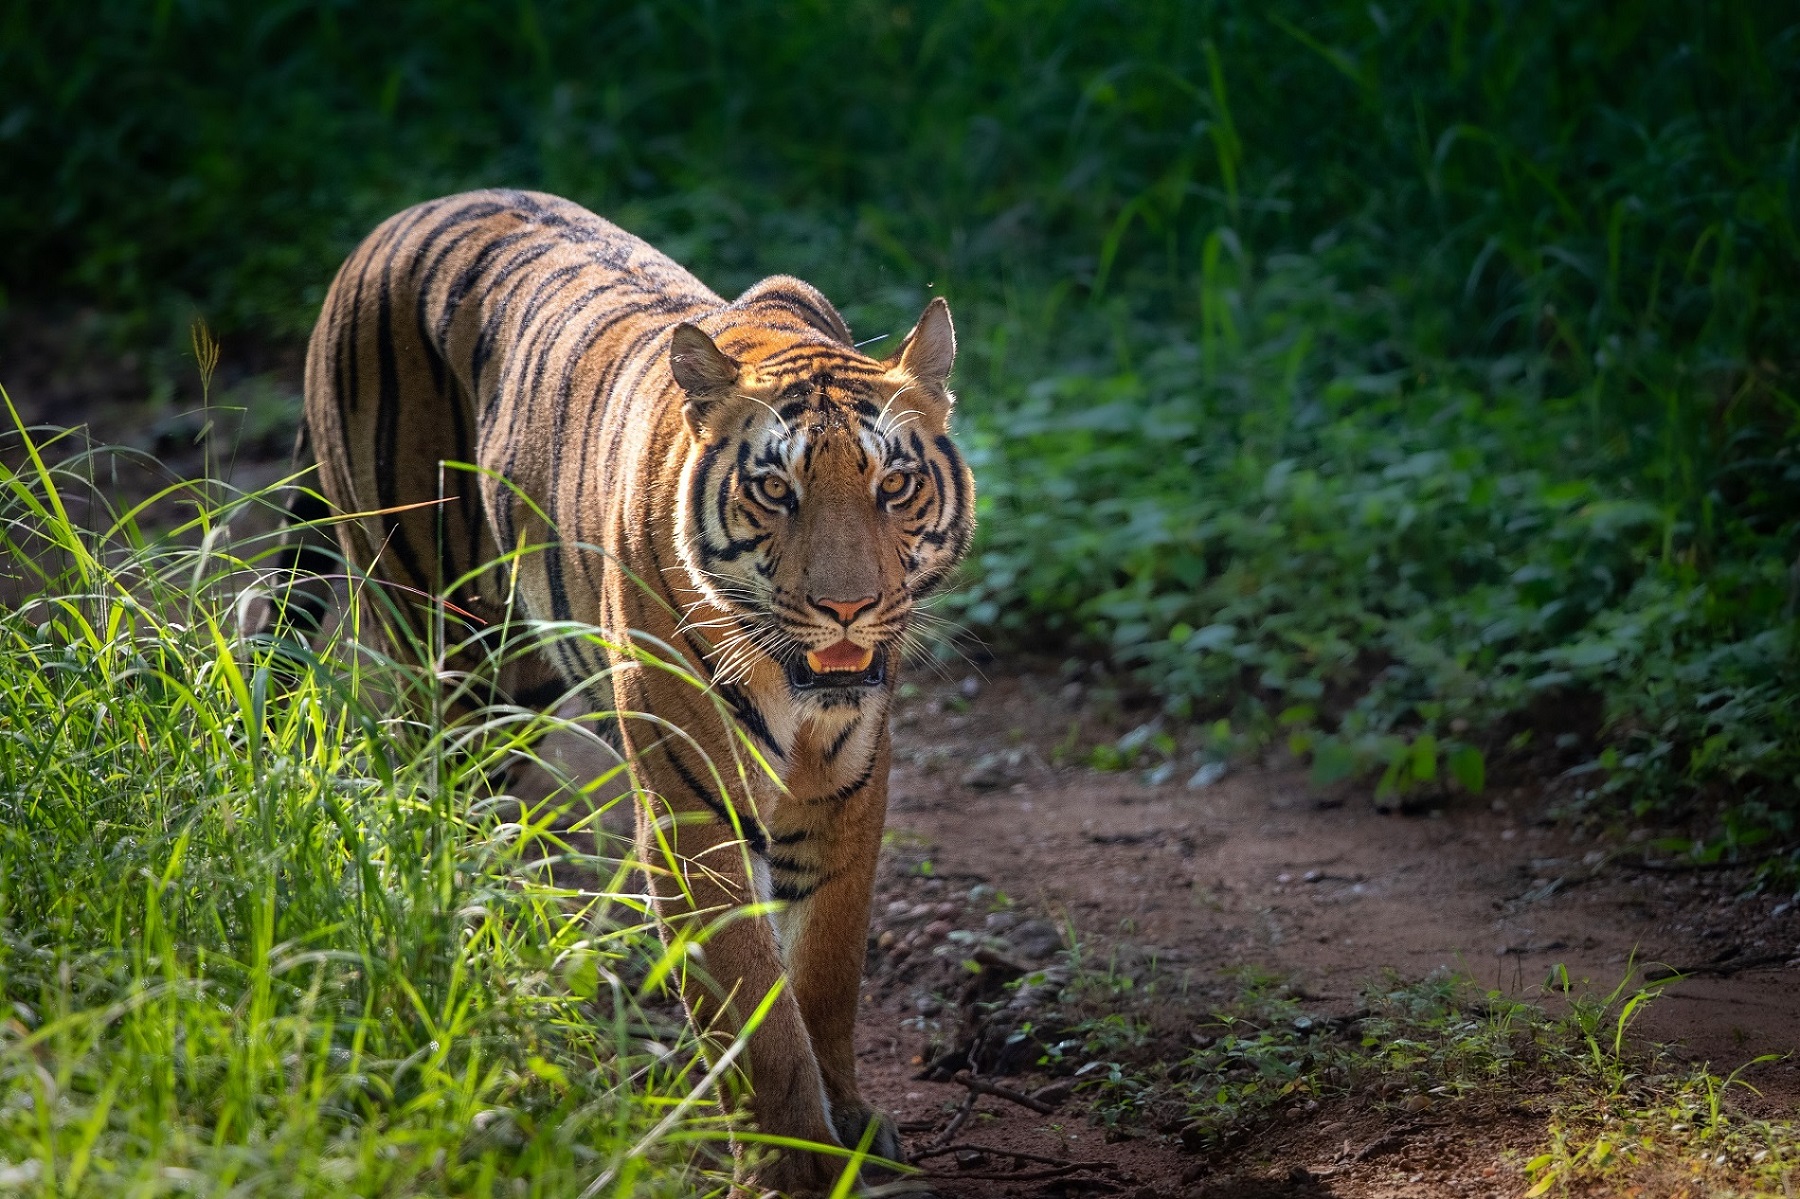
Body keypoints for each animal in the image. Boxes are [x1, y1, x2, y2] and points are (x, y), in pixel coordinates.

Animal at [251, 189, 975, 1195]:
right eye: (776, 490)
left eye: (895, 484)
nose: (848, 608)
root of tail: (387, 226)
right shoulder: (693, 807)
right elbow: (752, 999)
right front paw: (791, 1155)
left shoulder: (847, 784)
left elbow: (827, 966)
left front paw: (851, 1123)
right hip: (441, 634)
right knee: (427, 792)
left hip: (507, 675)